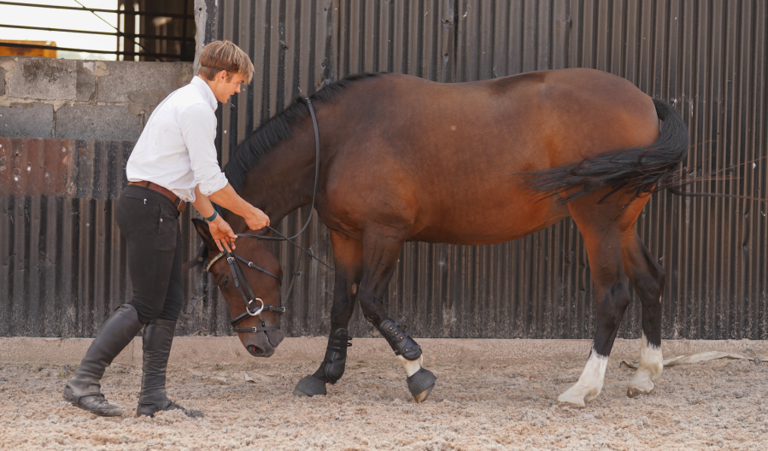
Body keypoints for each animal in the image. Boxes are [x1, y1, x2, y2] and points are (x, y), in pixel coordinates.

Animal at [192, 68, 689, 406]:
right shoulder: (346, 236)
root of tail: (645, 100)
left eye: (223, 278)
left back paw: (583, 388)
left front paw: (416, 369)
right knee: (651, 280)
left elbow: (371, 303)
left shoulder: (385, 234)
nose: (257, 345)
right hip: (623, 224)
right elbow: (341, 307)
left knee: (614, 295)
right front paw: (324, 374)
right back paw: (645, 374)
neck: (337, 140)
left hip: (598, 223)